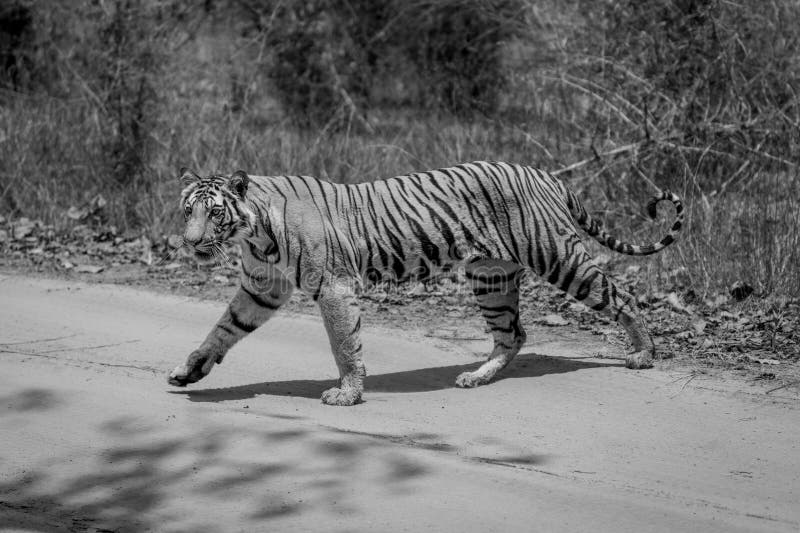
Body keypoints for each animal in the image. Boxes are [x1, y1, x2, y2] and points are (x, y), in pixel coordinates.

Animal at [168, 161, 683, 406]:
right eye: (187, 210)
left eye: (214, 213)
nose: (189, 242)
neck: (255, 233)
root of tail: (547, 174)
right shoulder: (262, 287)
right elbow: (223, 329)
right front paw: (190, 370)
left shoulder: (334, 286)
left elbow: (344, 344)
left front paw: (347, 394)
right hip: (490, 277)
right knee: (513, 333)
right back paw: (476, 377)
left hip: (557, 257)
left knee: (621, 295)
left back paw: (643, 353)